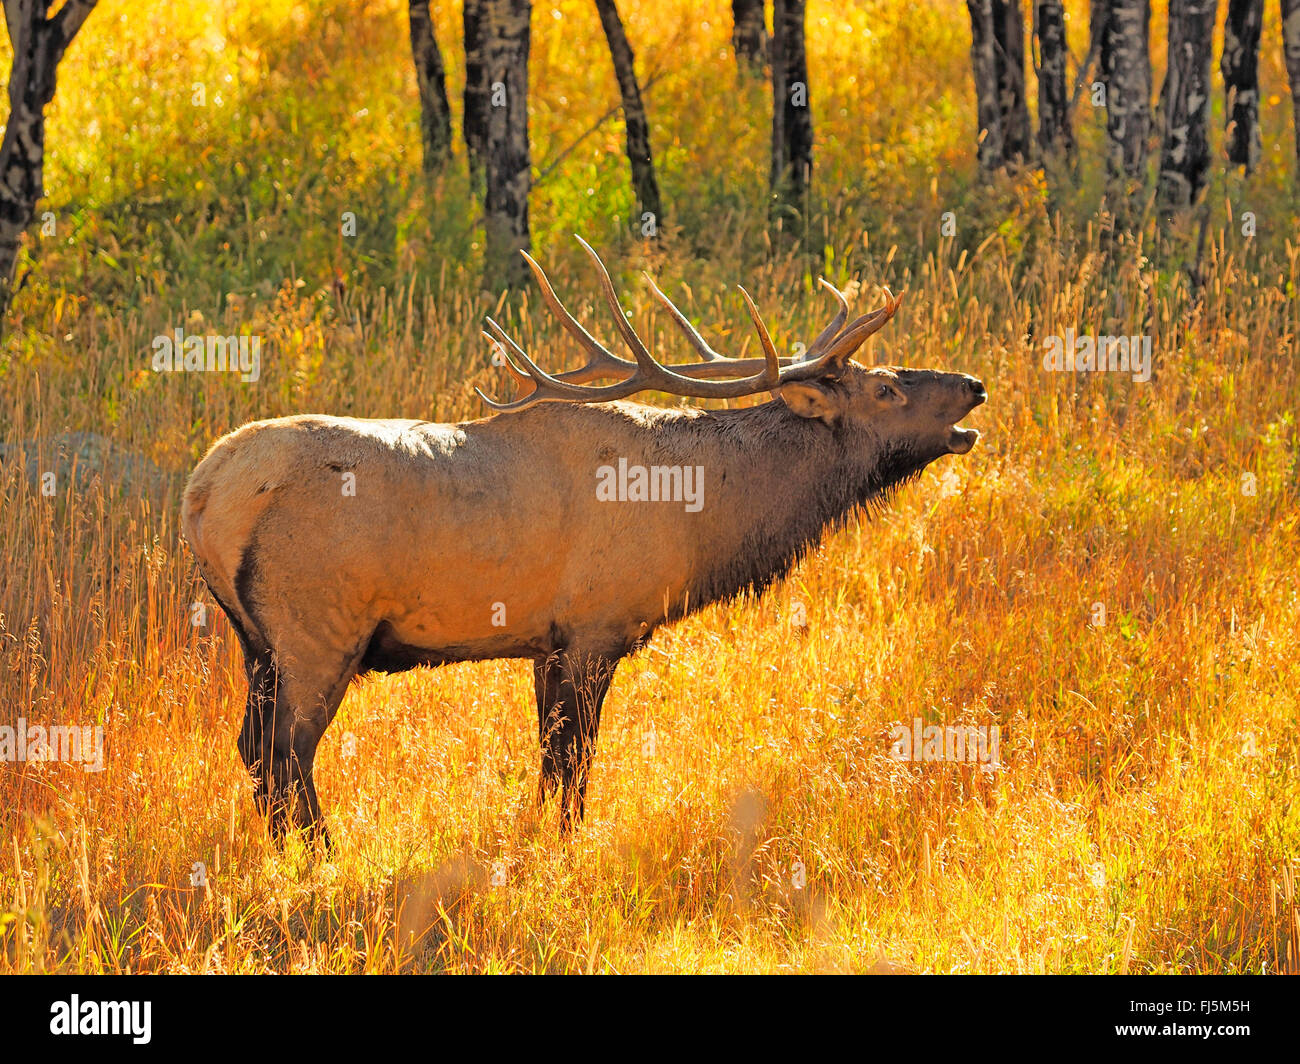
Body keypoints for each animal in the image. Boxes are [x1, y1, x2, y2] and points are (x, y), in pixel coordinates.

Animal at [181, 237, 986, 849]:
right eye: (886, 389)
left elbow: (547, 762)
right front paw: (568, 847)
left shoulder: (547, 641)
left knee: (253, 751)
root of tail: (202, 497)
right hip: (318, 630)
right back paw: (323, 856)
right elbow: (576, 764)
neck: (702, 521)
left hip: (255, 643)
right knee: (286, 752)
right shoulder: (597, 627)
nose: (975, 385)